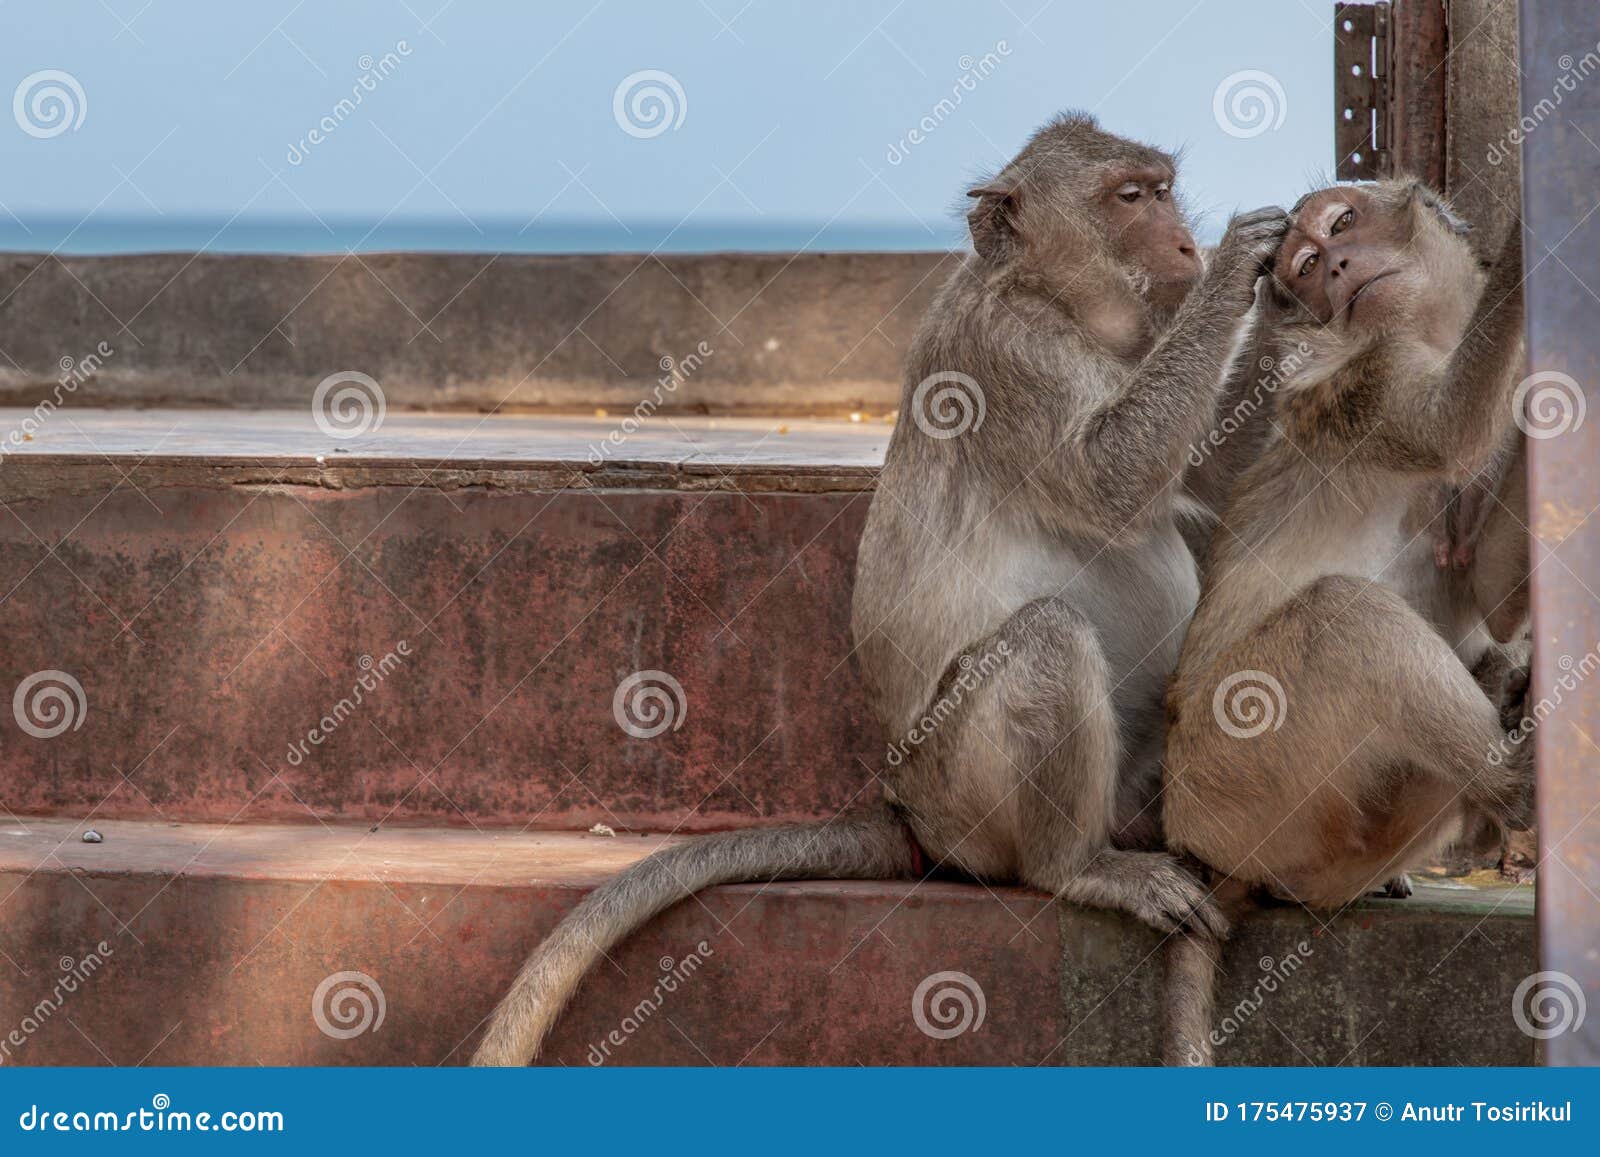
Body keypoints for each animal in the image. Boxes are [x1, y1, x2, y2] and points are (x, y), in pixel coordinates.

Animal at [469, 113, 1286, 1067]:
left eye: (1162, 189)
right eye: (1130, 198)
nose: (1186, 242)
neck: (1056, 303)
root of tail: (903, 809)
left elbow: (1205, 477)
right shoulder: (1008, 357)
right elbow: (1112, 479)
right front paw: (1239, 272)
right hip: (961, 793)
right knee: (1047, 638)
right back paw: (1078, 866)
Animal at [1157, 179, 1533, 1066]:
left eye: (1340, 223)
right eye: (1303, 266)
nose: (1331, 264)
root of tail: (1196, 844)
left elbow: (1500, 590)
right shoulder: (1364, 384)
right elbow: (1447, 427)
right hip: (1234, 773)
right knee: (1343, 615)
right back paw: (1515, 782)